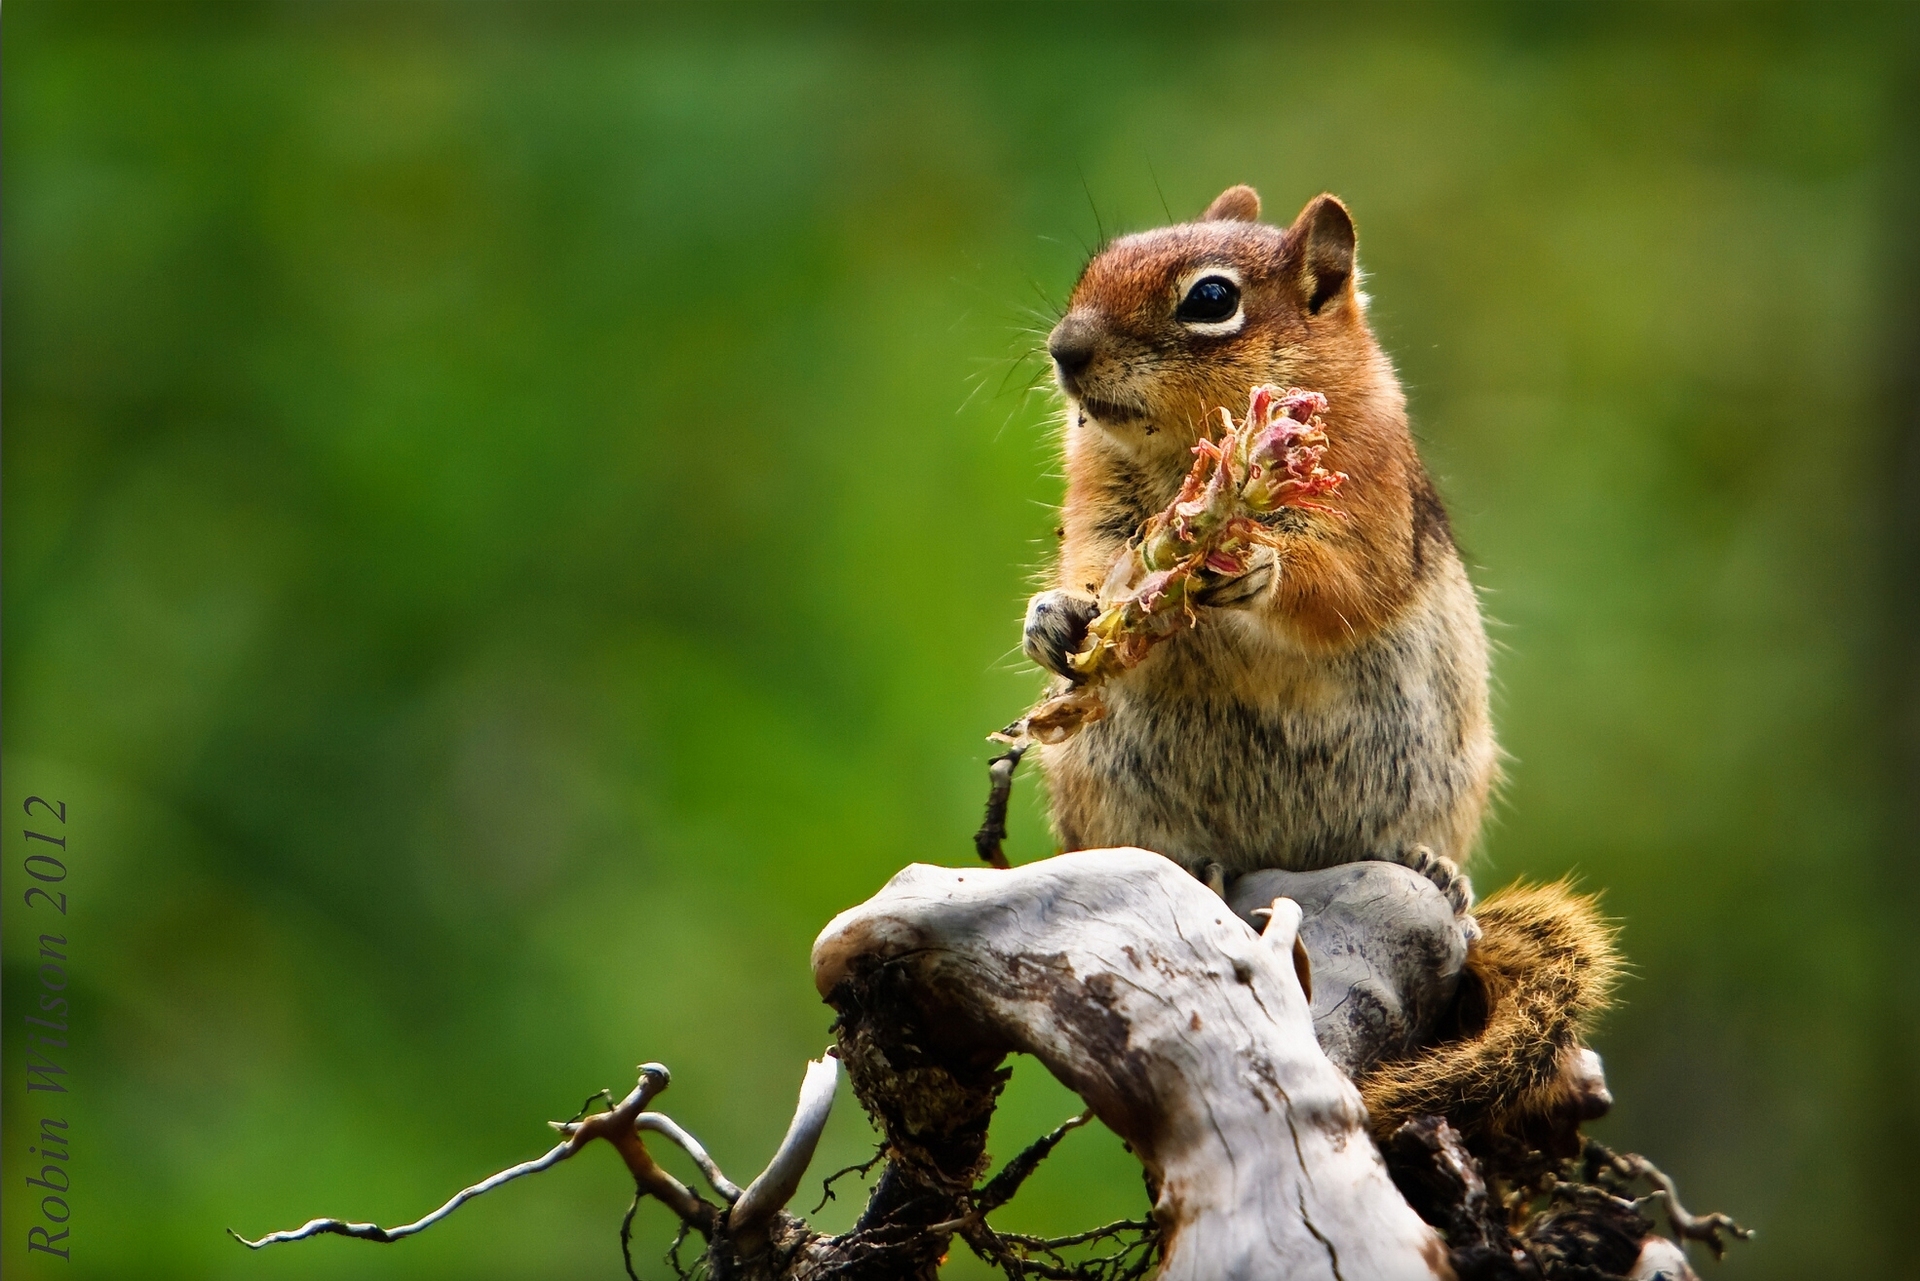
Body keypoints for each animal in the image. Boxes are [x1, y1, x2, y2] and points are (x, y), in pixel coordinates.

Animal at [1023, 184, 1498, 914]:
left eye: (1212, 298)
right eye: (1095, 267)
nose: (1063, 349)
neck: (1188, 451)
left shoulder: (1372, 493)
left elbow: (1346, 582)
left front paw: (1257, 564)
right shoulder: (1100, 498)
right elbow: (1093, 562)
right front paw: (1056, 617)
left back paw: (1433, 869)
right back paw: (1197, 868)